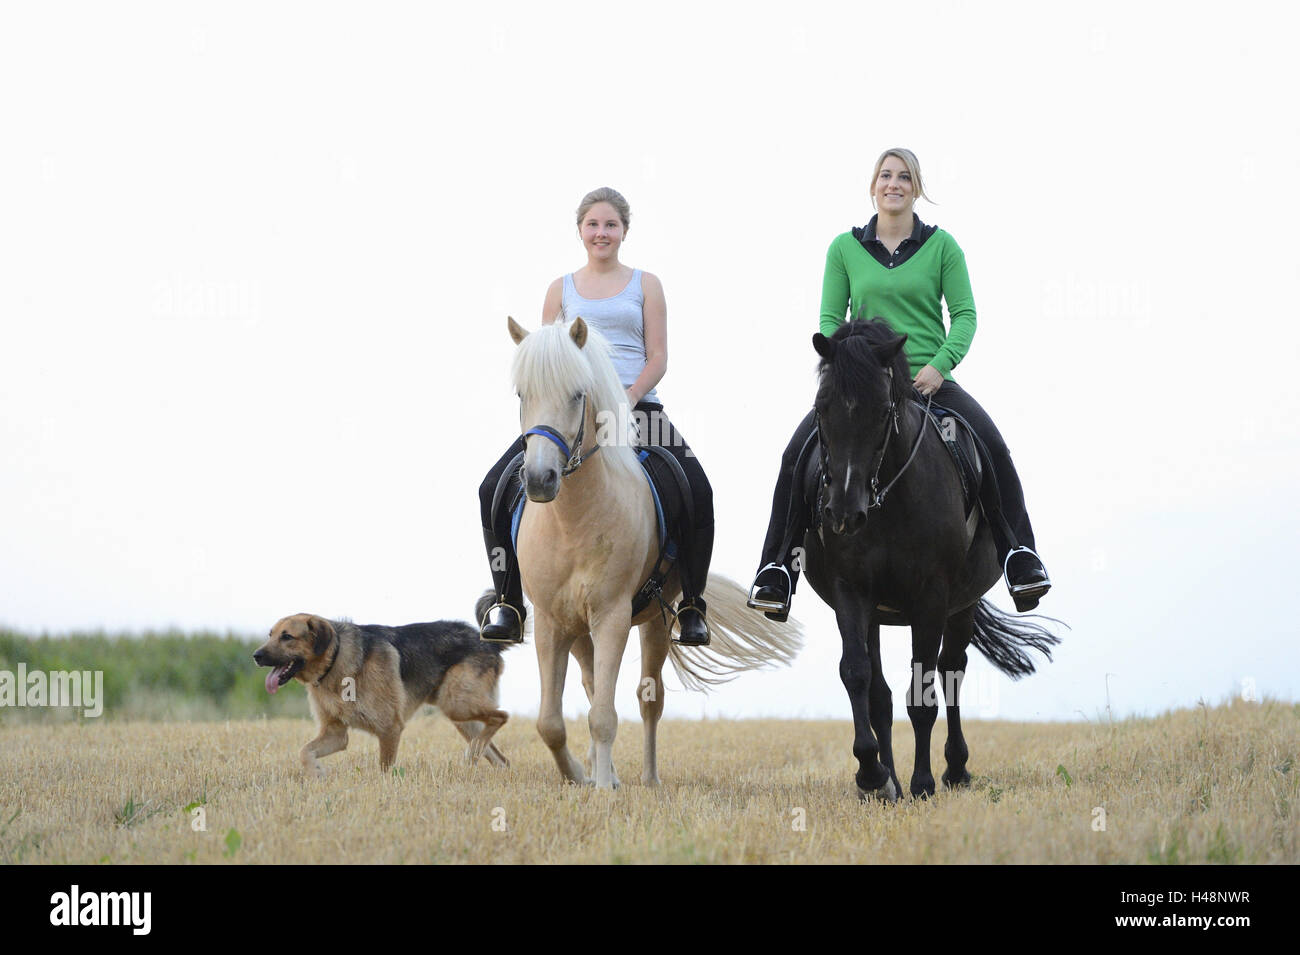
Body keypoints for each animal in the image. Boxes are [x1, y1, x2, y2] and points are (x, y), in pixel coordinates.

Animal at [505, 315, 802, 789]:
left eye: (577, 394)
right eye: (522, 394)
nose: (539, 480)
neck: (572, 521)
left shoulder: (612, 616)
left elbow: (604, 716)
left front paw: (602, 786)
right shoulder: (552, 621)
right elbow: (551, 722)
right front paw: (580, 776)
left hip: (656, 620)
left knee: (649, 699)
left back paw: (648, 779)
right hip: (579, 627)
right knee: (593, 687)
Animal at [797, 319, 1059, 801]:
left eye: (884, 411)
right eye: (821, 409)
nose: (842, 514)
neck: (885, 498)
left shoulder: (931, 598)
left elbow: (924, 692)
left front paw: (923, 783)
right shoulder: (851, 593)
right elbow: (857, 674)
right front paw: (873, 776)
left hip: (962, 604)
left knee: (952, 669)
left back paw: (954, 769)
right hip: (878, 612)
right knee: (880, 693)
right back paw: (891, 781)